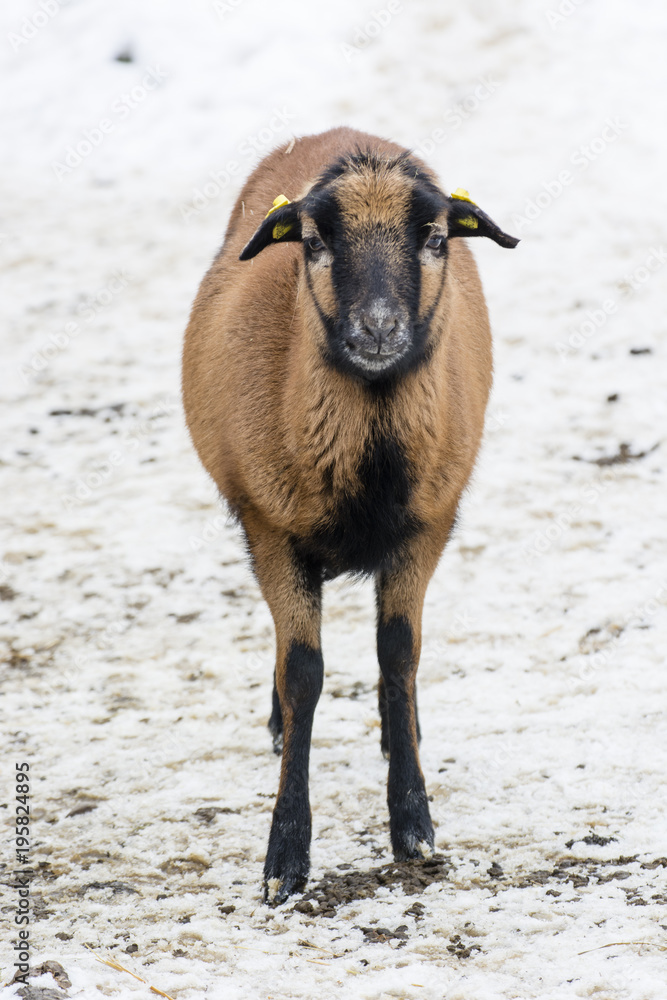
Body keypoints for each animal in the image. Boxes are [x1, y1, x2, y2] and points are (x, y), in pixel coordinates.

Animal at [182, 126, 518, 904]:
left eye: (435, 238)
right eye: (310, 242)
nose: (378, 328)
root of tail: (342, 135)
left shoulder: (425, 527)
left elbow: (398, 655)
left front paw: (413, 824)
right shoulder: (272, 532)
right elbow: (303, 672)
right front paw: (285, 857)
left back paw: (403, 732)